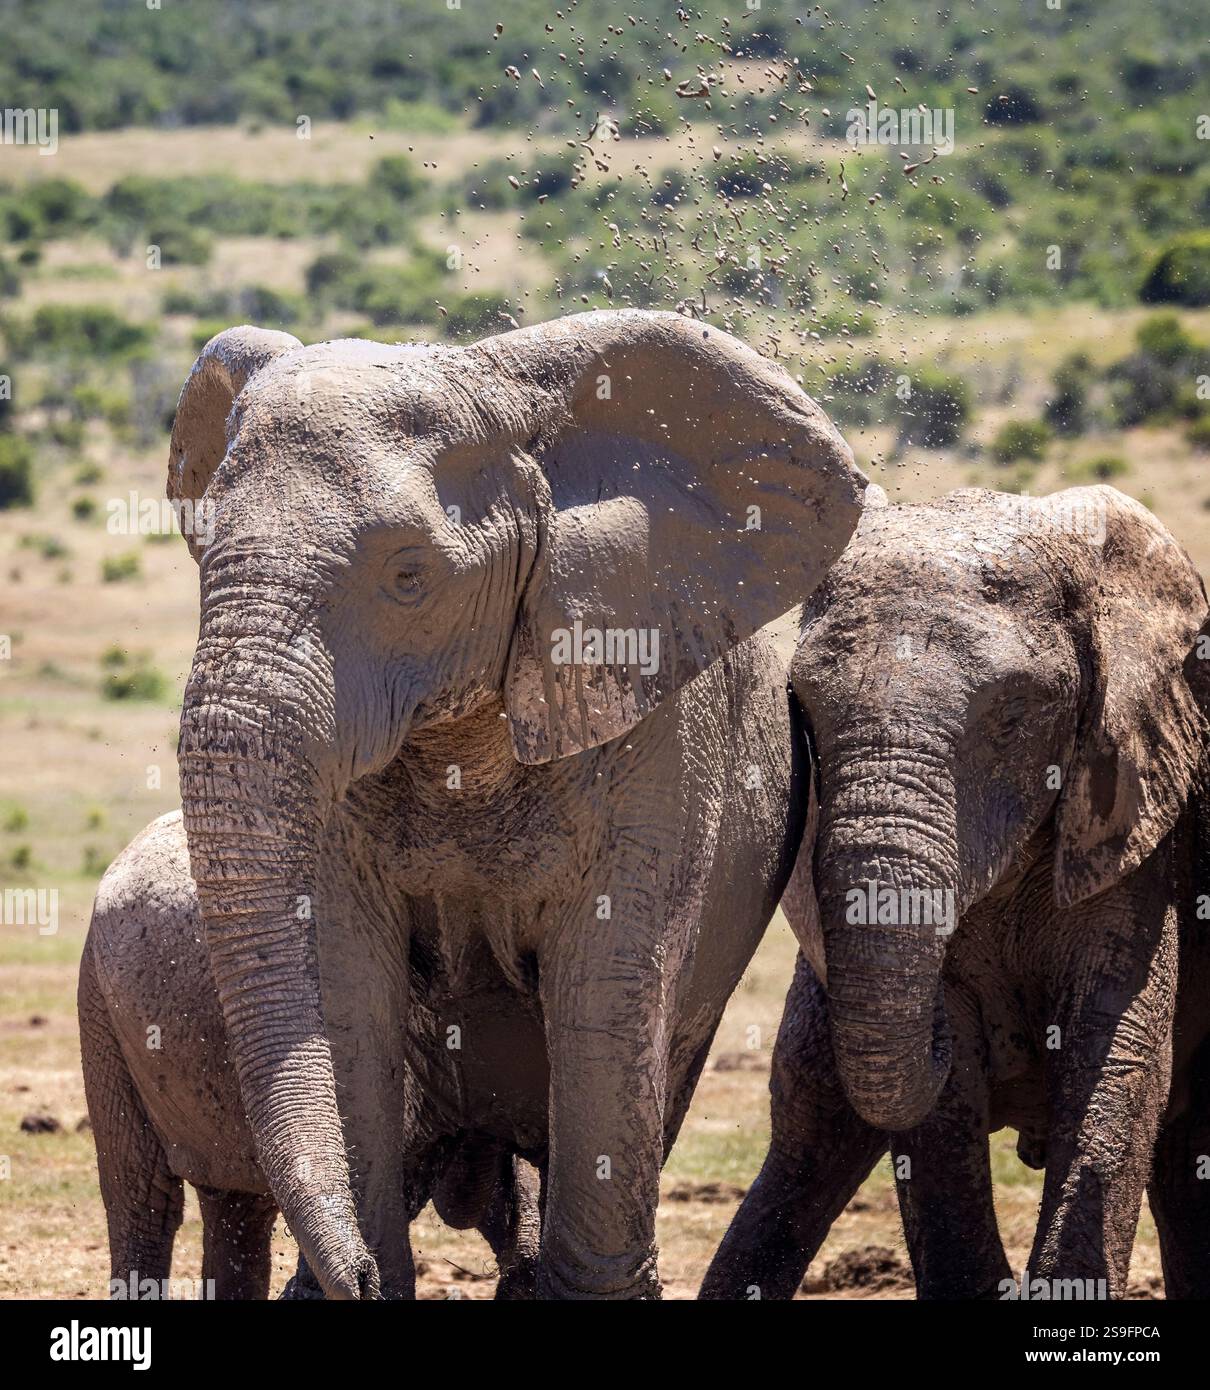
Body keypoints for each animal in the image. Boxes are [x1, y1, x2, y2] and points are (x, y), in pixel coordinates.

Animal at [165, 310, 865, 1298]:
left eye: (409, 575)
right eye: (202, 548)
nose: (355, 1278)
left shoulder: (654, 729)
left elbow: (605, 987)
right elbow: (343, 976)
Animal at [701, 485, 1210, 1300]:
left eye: (1012, 716)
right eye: (799, 707)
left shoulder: (1138, 828)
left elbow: (1118, 1054)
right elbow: (943, 1105)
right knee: (810, 1123)